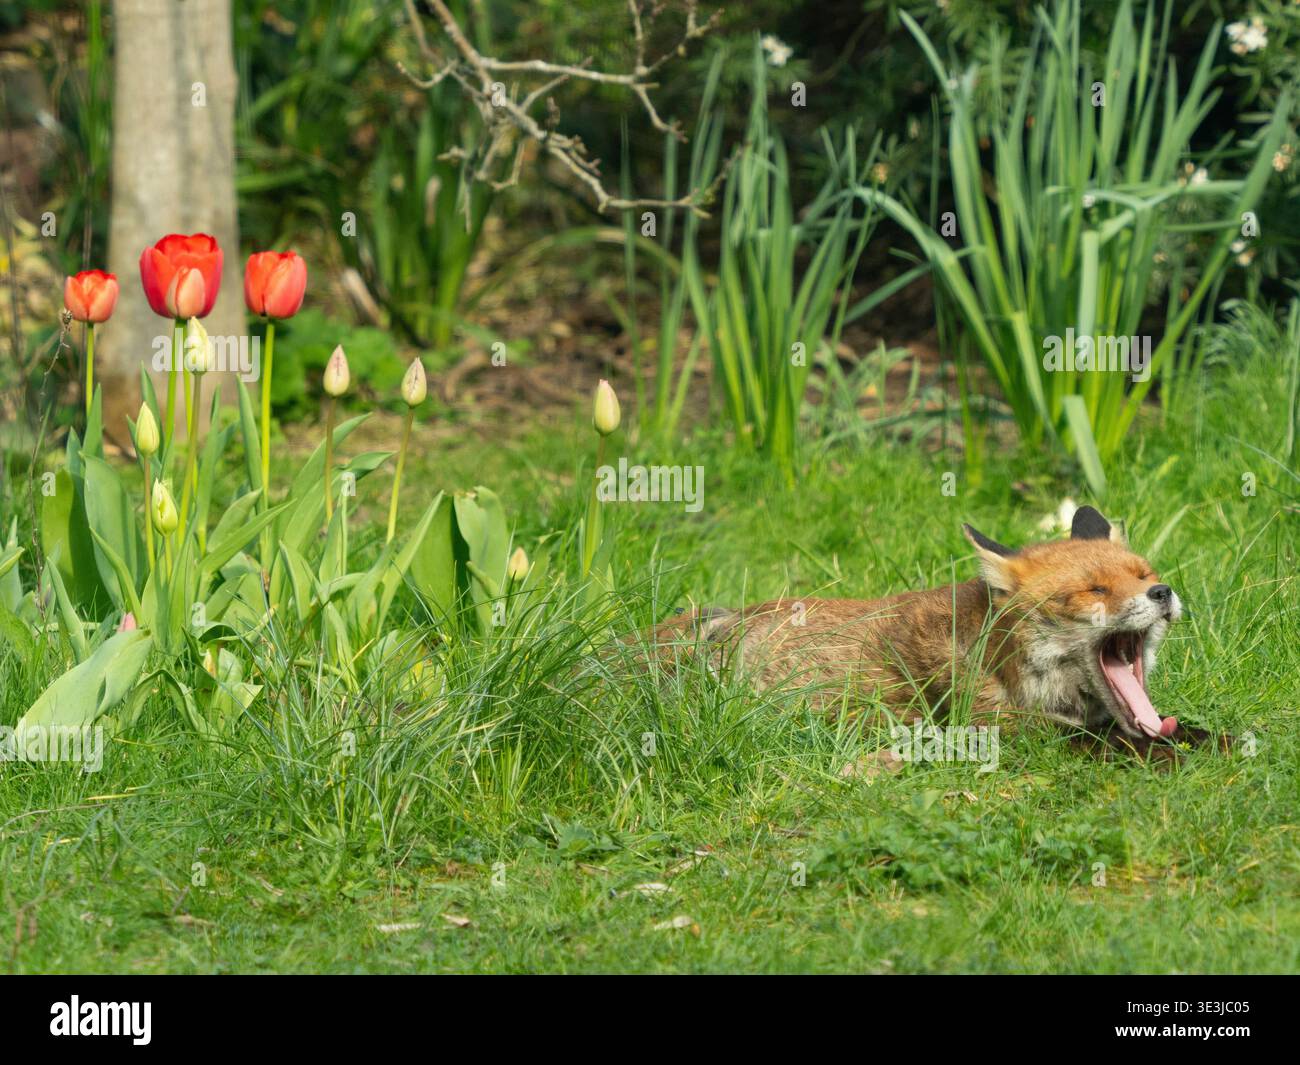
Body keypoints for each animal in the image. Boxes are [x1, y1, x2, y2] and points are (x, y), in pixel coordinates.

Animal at [645, 506, 1213, 752]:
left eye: (1144, 575)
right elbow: (1107, 738)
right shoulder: (991, 726)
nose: (1162, 593)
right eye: (1095, 590)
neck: (1000, 667)